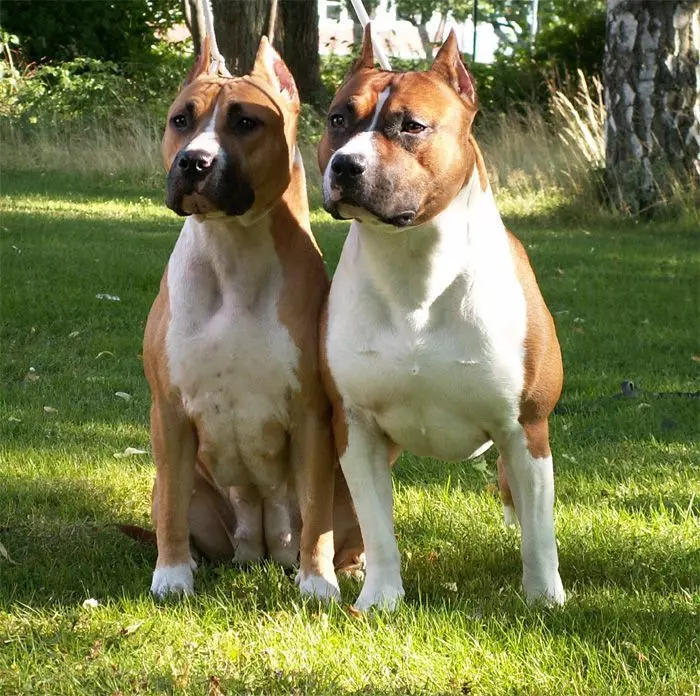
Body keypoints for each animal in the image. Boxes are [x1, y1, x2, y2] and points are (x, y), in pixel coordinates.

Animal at [143, 38, 360, 600]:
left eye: (245, 122)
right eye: (181, 119)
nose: (193, 161)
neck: (232, 251)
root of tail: (259, 548)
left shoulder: (310, 417)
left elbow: (316, 514)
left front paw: (318, 582)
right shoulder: (169, 411)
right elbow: (172, 507)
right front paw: (171, 574)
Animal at [320, 28, 568, 608]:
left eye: (411, 125)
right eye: (338, 118)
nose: (345, 164)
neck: (414, 269)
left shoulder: (525, 428)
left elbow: (540, 531)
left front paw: (544, 598)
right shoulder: (357, 428)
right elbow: (377, 527)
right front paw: (379, 598)